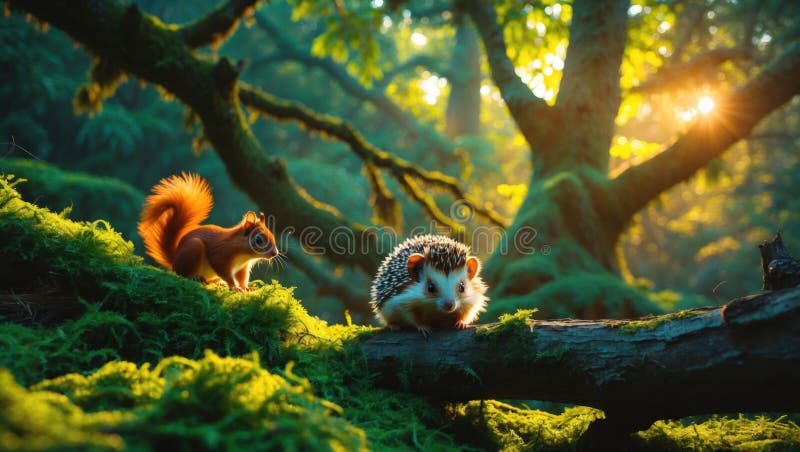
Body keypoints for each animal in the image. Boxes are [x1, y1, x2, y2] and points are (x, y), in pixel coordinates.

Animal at [138, 173, 278, 291]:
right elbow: (225, 273)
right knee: (182, 273)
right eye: (258, 239)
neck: (243, 255)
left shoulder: (242, 267)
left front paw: (246, 288)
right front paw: (234, 287)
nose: (275, 253)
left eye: (272, 236)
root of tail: (174, 260)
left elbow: (242, 278)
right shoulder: (220, 256)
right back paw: (194, 277)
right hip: (194, 248)